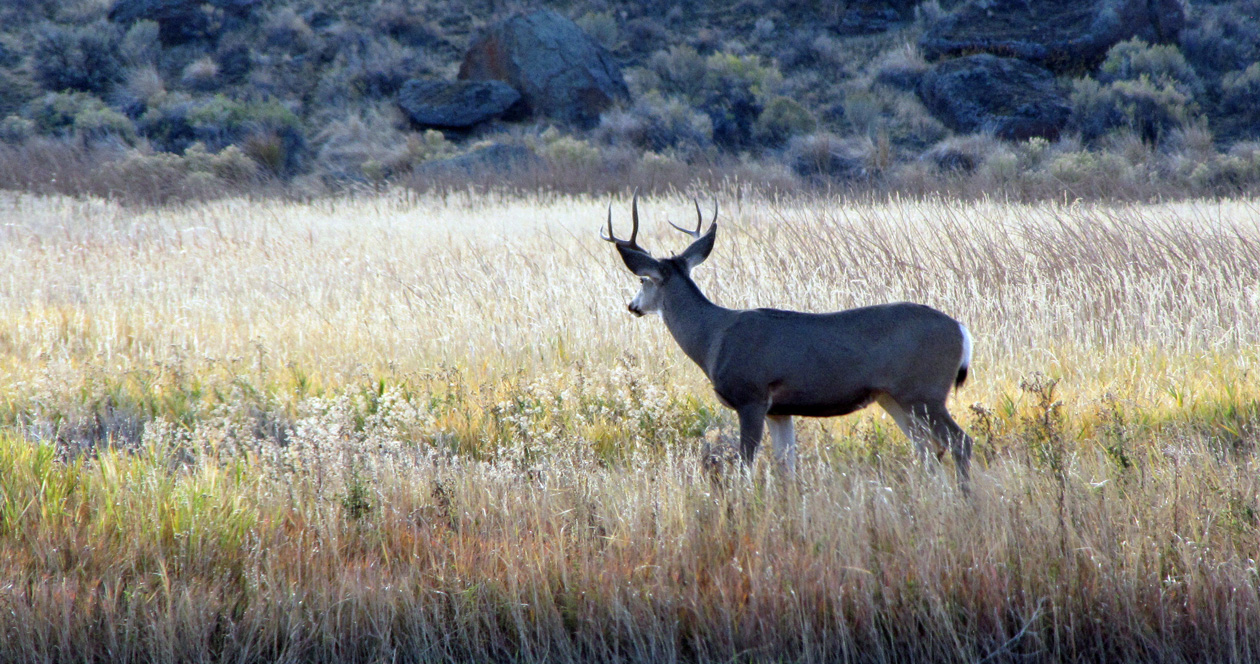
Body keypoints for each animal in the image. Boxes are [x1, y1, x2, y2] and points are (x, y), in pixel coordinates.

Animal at [601, 195, 975, 489]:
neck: (713, 339)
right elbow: (786, 467)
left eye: (642, 280)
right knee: (927, 449)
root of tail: (961, 329)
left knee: (960, 442)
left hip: (924, 391)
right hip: (895, 397)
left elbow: (746, 465)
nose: (632, 306)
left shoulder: (751, 395)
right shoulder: (779, 409)